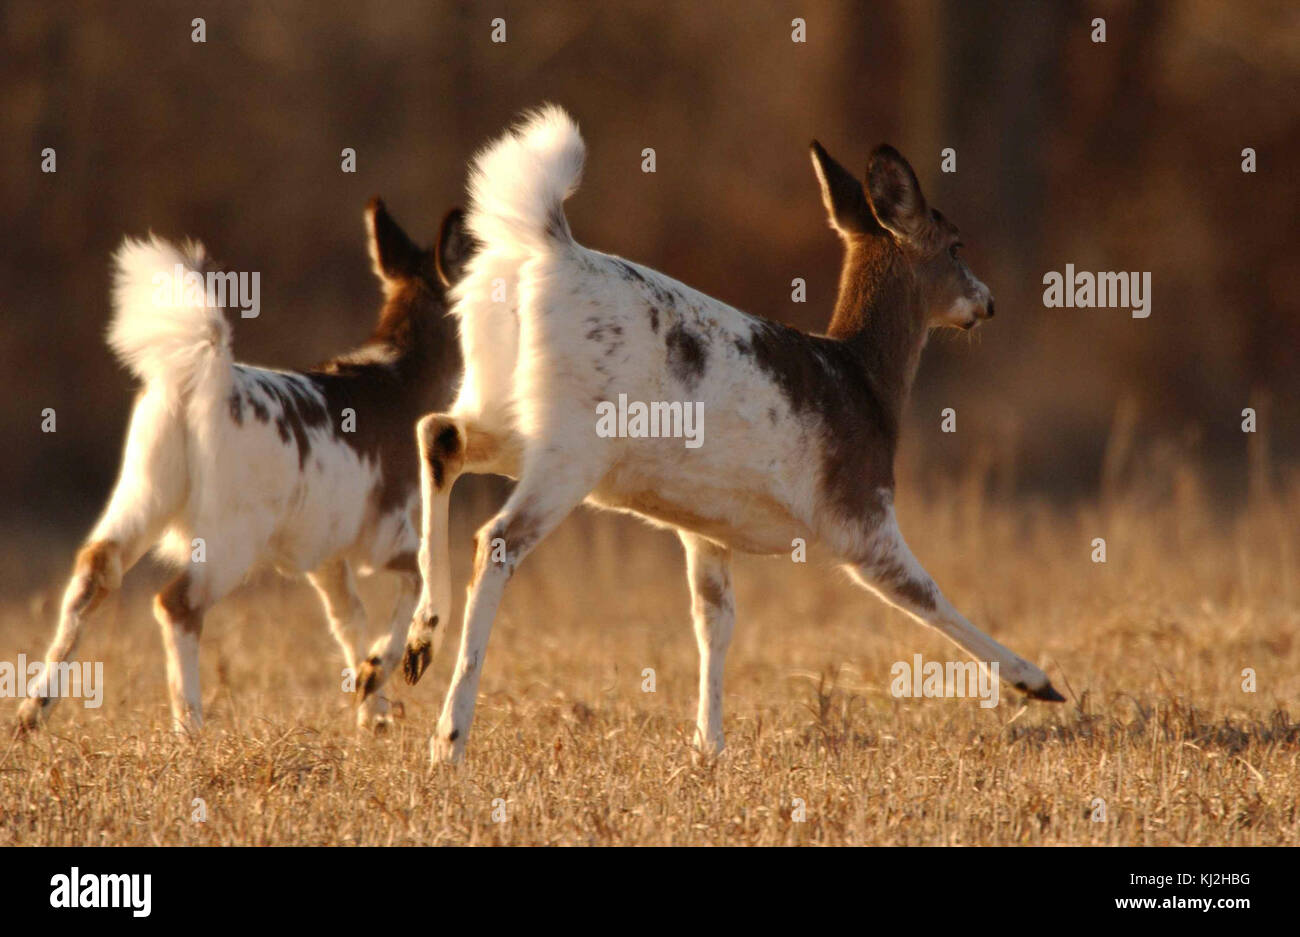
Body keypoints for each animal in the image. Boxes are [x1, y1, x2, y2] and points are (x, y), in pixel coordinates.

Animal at [16, 200, 470, 735]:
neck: (404, 379)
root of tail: (196, 384)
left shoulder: (326, 556)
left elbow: (348, 618)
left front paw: (371, 707)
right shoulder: (384, 535)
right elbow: (417, 581)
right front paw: (378, 675)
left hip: (142, 494)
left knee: (93, 572)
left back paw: (32, 711)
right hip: (231, 535)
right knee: (176, 604)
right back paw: (190, 725)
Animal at [392, 105, 1064, 763]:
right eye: (956, 246)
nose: (987, 302)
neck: (867, 382)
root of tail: (542, 247)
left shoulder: (704, 528)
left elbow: (714, 622)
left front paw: (708, 745)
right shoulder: (859, 513)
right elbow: (925, 595)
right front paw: (1038, 681)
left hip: (506, 412)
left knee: (438, 433)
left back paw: (420, 642)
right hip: (572, 445)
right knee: (495, 538)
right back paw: (449, 736)